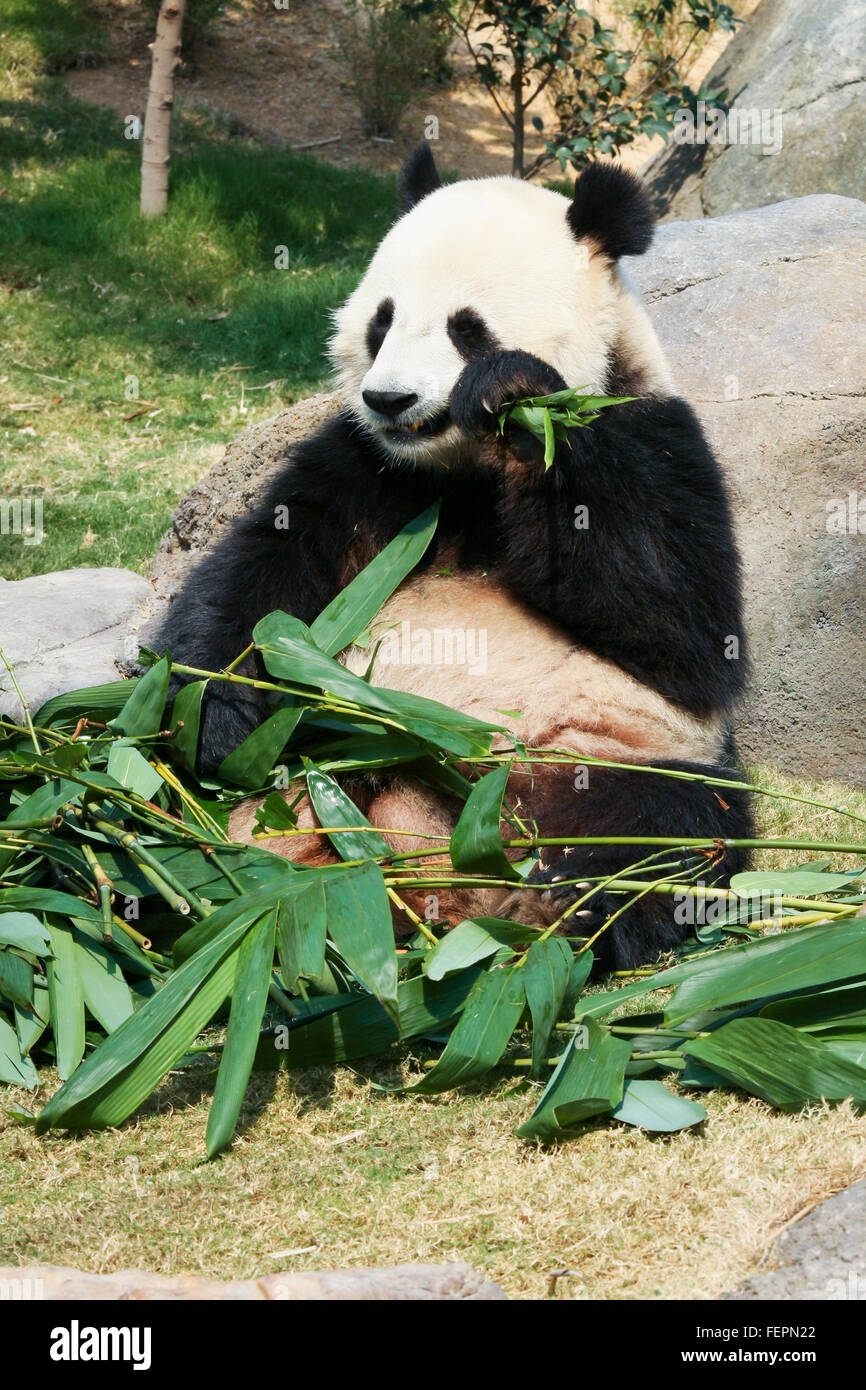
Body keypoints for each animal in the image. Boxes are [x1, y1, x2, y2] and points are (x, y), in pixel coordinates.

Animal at [157, 142, 753, 971]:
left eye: (467, 329)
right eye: (381, 321)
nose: (390, 400)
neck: (464, 466)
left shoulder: (654, 436)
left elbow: (682, 631)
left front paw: (516, 396)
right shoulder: (369, 467)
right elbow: (270, 571)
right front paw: (216, 716)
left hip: (603, 758)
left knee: (669, 826)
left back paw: (574, 911)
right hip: (316, 751)